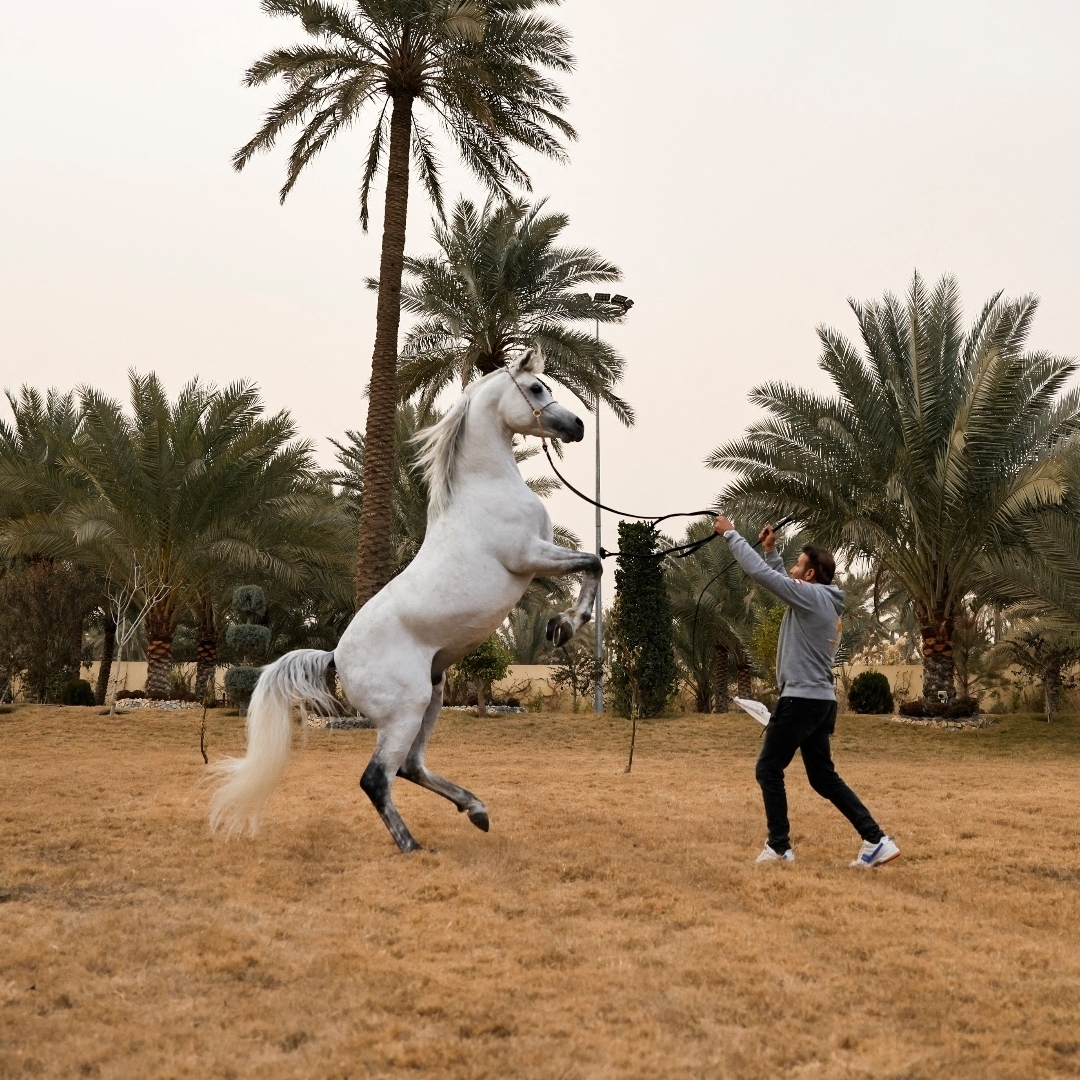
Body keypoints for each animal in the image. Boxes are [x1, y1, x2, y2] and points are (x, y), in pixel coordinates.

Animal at [208, 348, 602, 852]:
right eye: (536, 389)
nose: (577, 425)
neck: (484, 489)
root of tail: (335, 656)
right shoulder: (529, 557)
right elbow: (594, 563)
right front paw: (566, 624)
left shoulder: (539, 558)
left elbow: (592, 564)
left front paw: (563, 623)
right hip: (406, 709)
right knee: (378, 778)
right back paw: (413, 845)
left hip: (432, 696)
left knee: (409, 768)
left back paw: (476, 810)